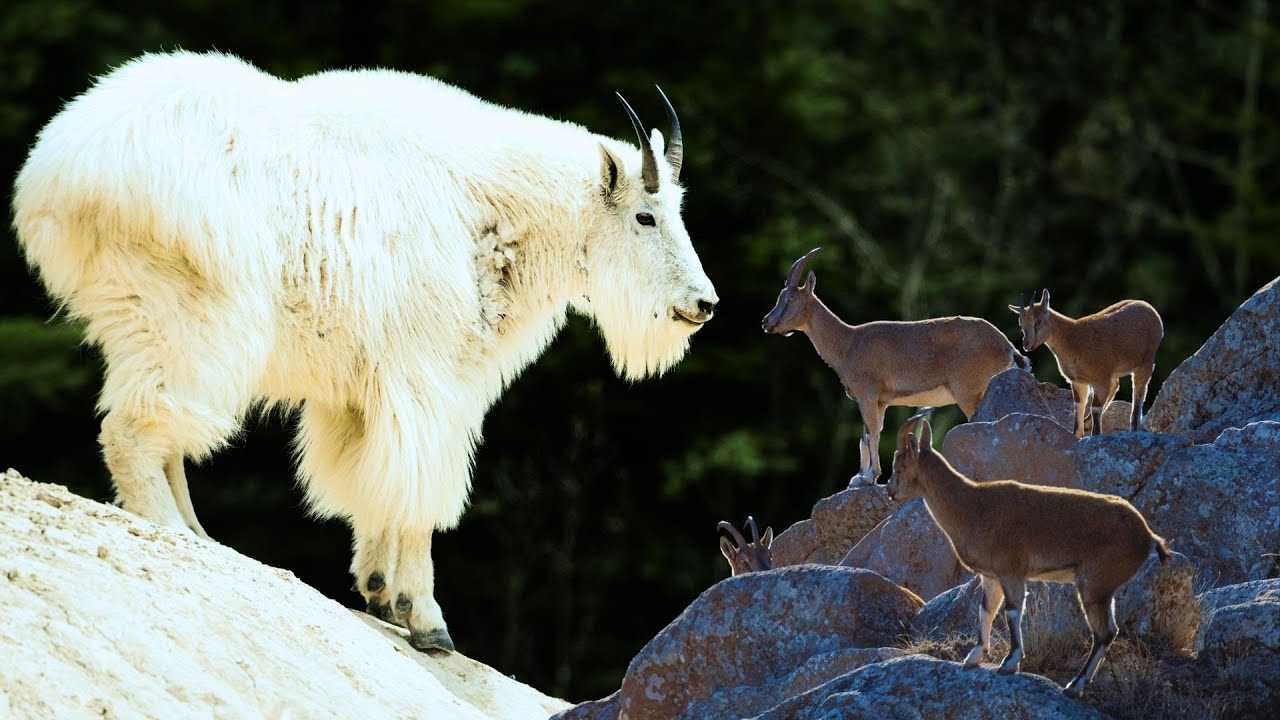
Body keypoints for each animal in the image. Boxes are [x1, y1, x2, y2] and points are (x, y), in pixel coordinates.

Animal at [13, 51, 718, 653]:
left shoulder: (368, 395)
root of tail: (53, 172)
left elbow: (377, 485)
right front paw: (425, 617)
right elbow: (419, 493)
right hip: (190, 318)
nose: (704, 304)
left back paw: (199, 535)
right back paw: (170, 531)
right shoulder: (430, 382)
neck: (496, 214)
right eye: (646, 217)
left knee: (164, 435)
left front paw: (378, 592)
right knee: (132, 430)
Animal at [762, 248, 1029, 485]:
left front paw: (868, 477)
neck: (848, 343)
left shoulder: (867, 395)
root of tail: (1007, 346)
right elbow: (866, 436)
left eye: (791, 298)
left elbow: (871, 434)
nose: (766, 322)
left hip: (969, 390)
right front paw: (860, 477)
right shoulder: (880, 401)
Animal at [885, 408, 1170, 698]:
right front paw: (974, 657)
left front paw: (1009, 663)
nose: (890, 491)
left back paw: (1074, 685)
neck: (972, 507)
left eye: (899, 468)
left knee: (1103, 633)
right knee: (1109, 631)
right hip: (1103, 589)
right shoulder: (991, 576)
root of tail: (1148, 536)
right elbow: (986, 610)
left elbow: (1012, 612)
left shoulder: (1012, 572)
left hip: (1094, 584)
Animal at [1009, 290, 1163, 438]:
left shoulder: (1100, 379)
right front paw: (1077, 434)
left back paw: (1133, 428)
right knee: (1116, 385)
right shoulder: (1078, 381)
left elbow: (1096, 407)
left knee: (1139, 392)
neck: (1074, 339)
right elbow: (1079, 405)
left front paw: (1095, 435)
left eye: (1038, 321)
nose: (1026, 344)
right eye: (1021, 324)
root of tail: (1151, 310)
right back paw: (1088, 423)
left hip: (1145, 362)